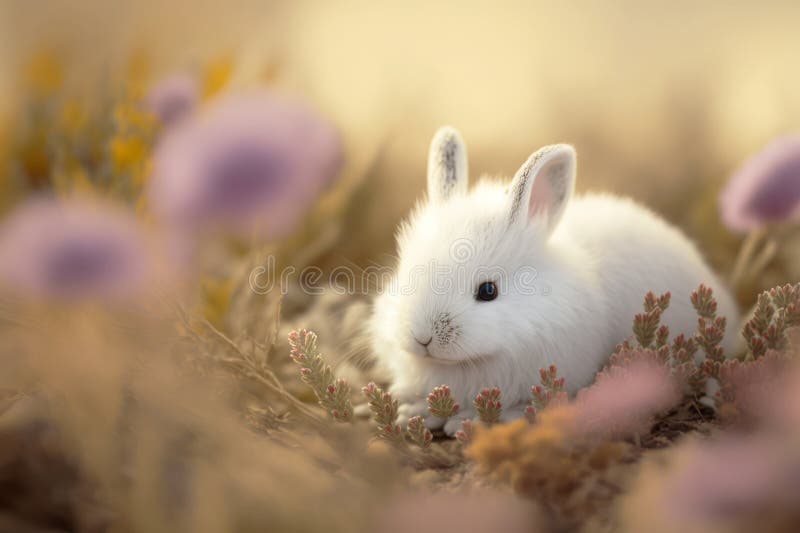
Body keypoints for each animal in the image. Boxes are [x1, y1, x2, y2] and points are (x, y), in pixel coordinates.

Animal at [369, 126, 739, 436]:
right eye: (406, 273)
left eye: (488, 291)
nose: (422, 338)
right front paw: (414, 412)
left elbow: (520, 408)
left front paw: (465, 421)